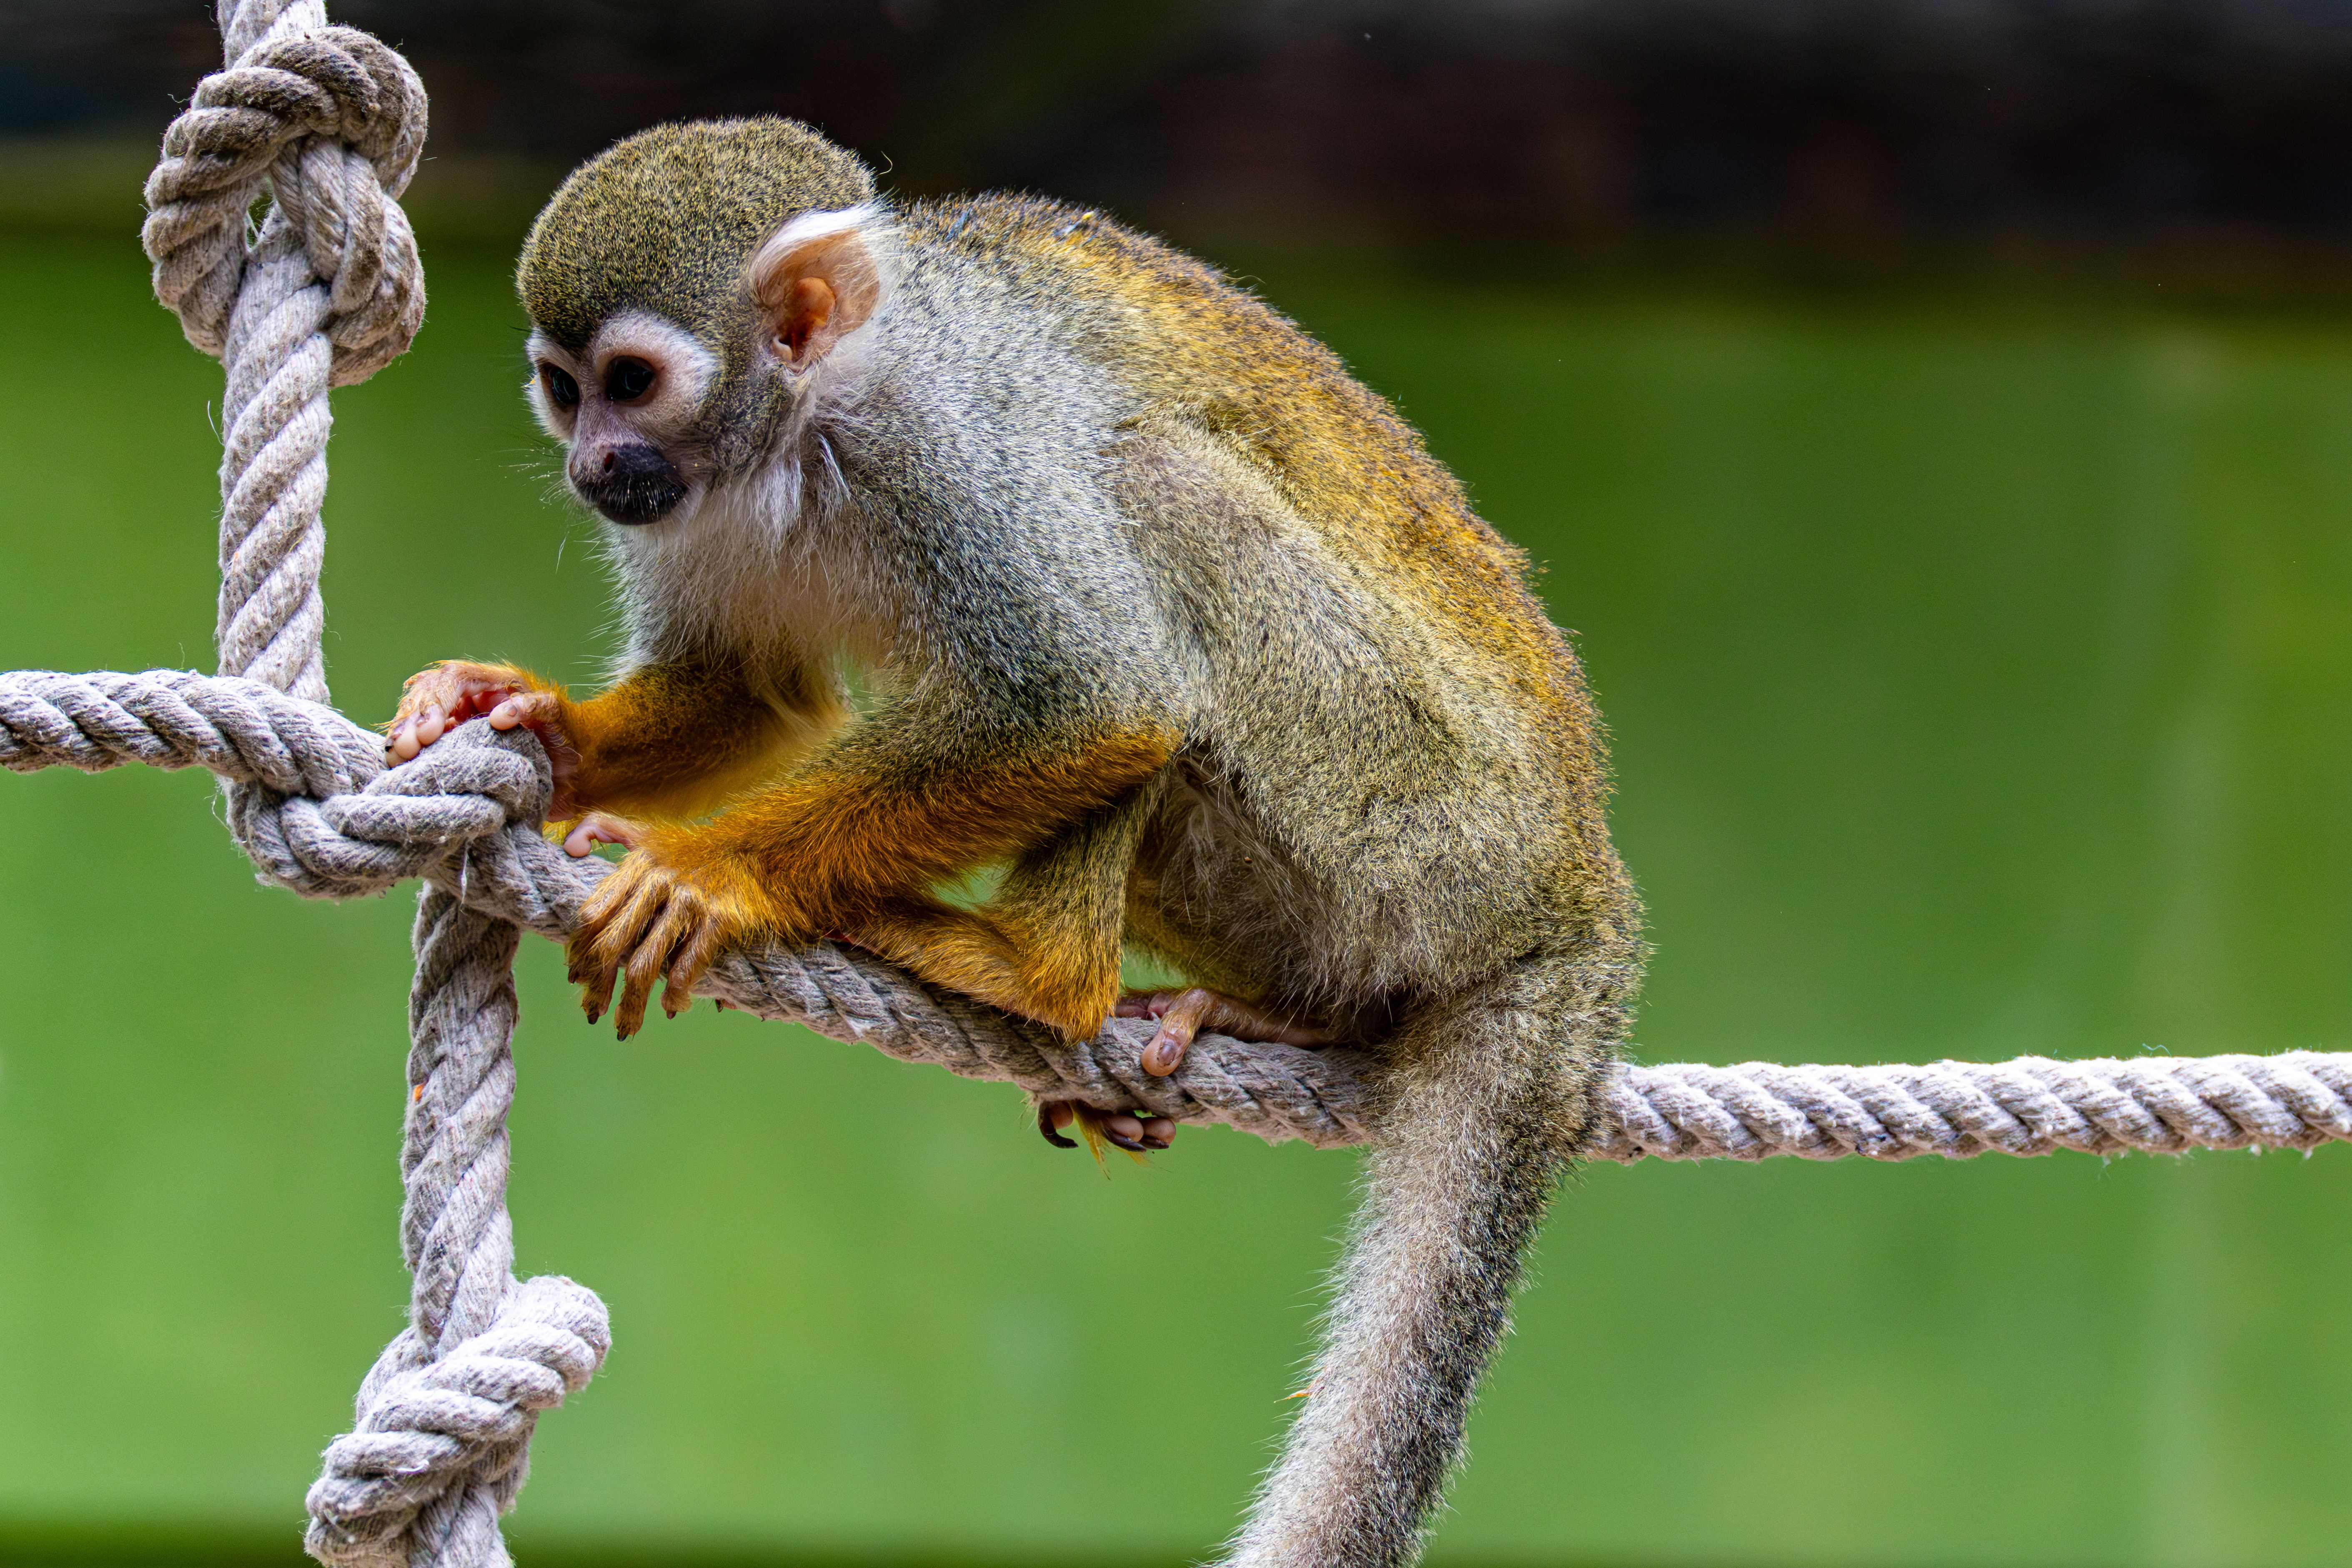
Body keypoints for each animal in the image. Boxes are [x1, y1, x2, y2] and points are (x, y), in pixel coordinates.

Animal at [384, 118, 1643, 1567]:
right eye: (562, 388)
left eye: (631, 383)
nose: (593, 466)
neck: (803, 430)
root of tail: (1581, 896)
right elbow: (751, 694)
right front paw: (524, 719)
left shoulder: (950, 450)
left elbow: (1098, 695)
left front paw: (711, 875)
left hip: (1417, 809)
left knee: (1150, 500)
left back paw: (1041, 975)